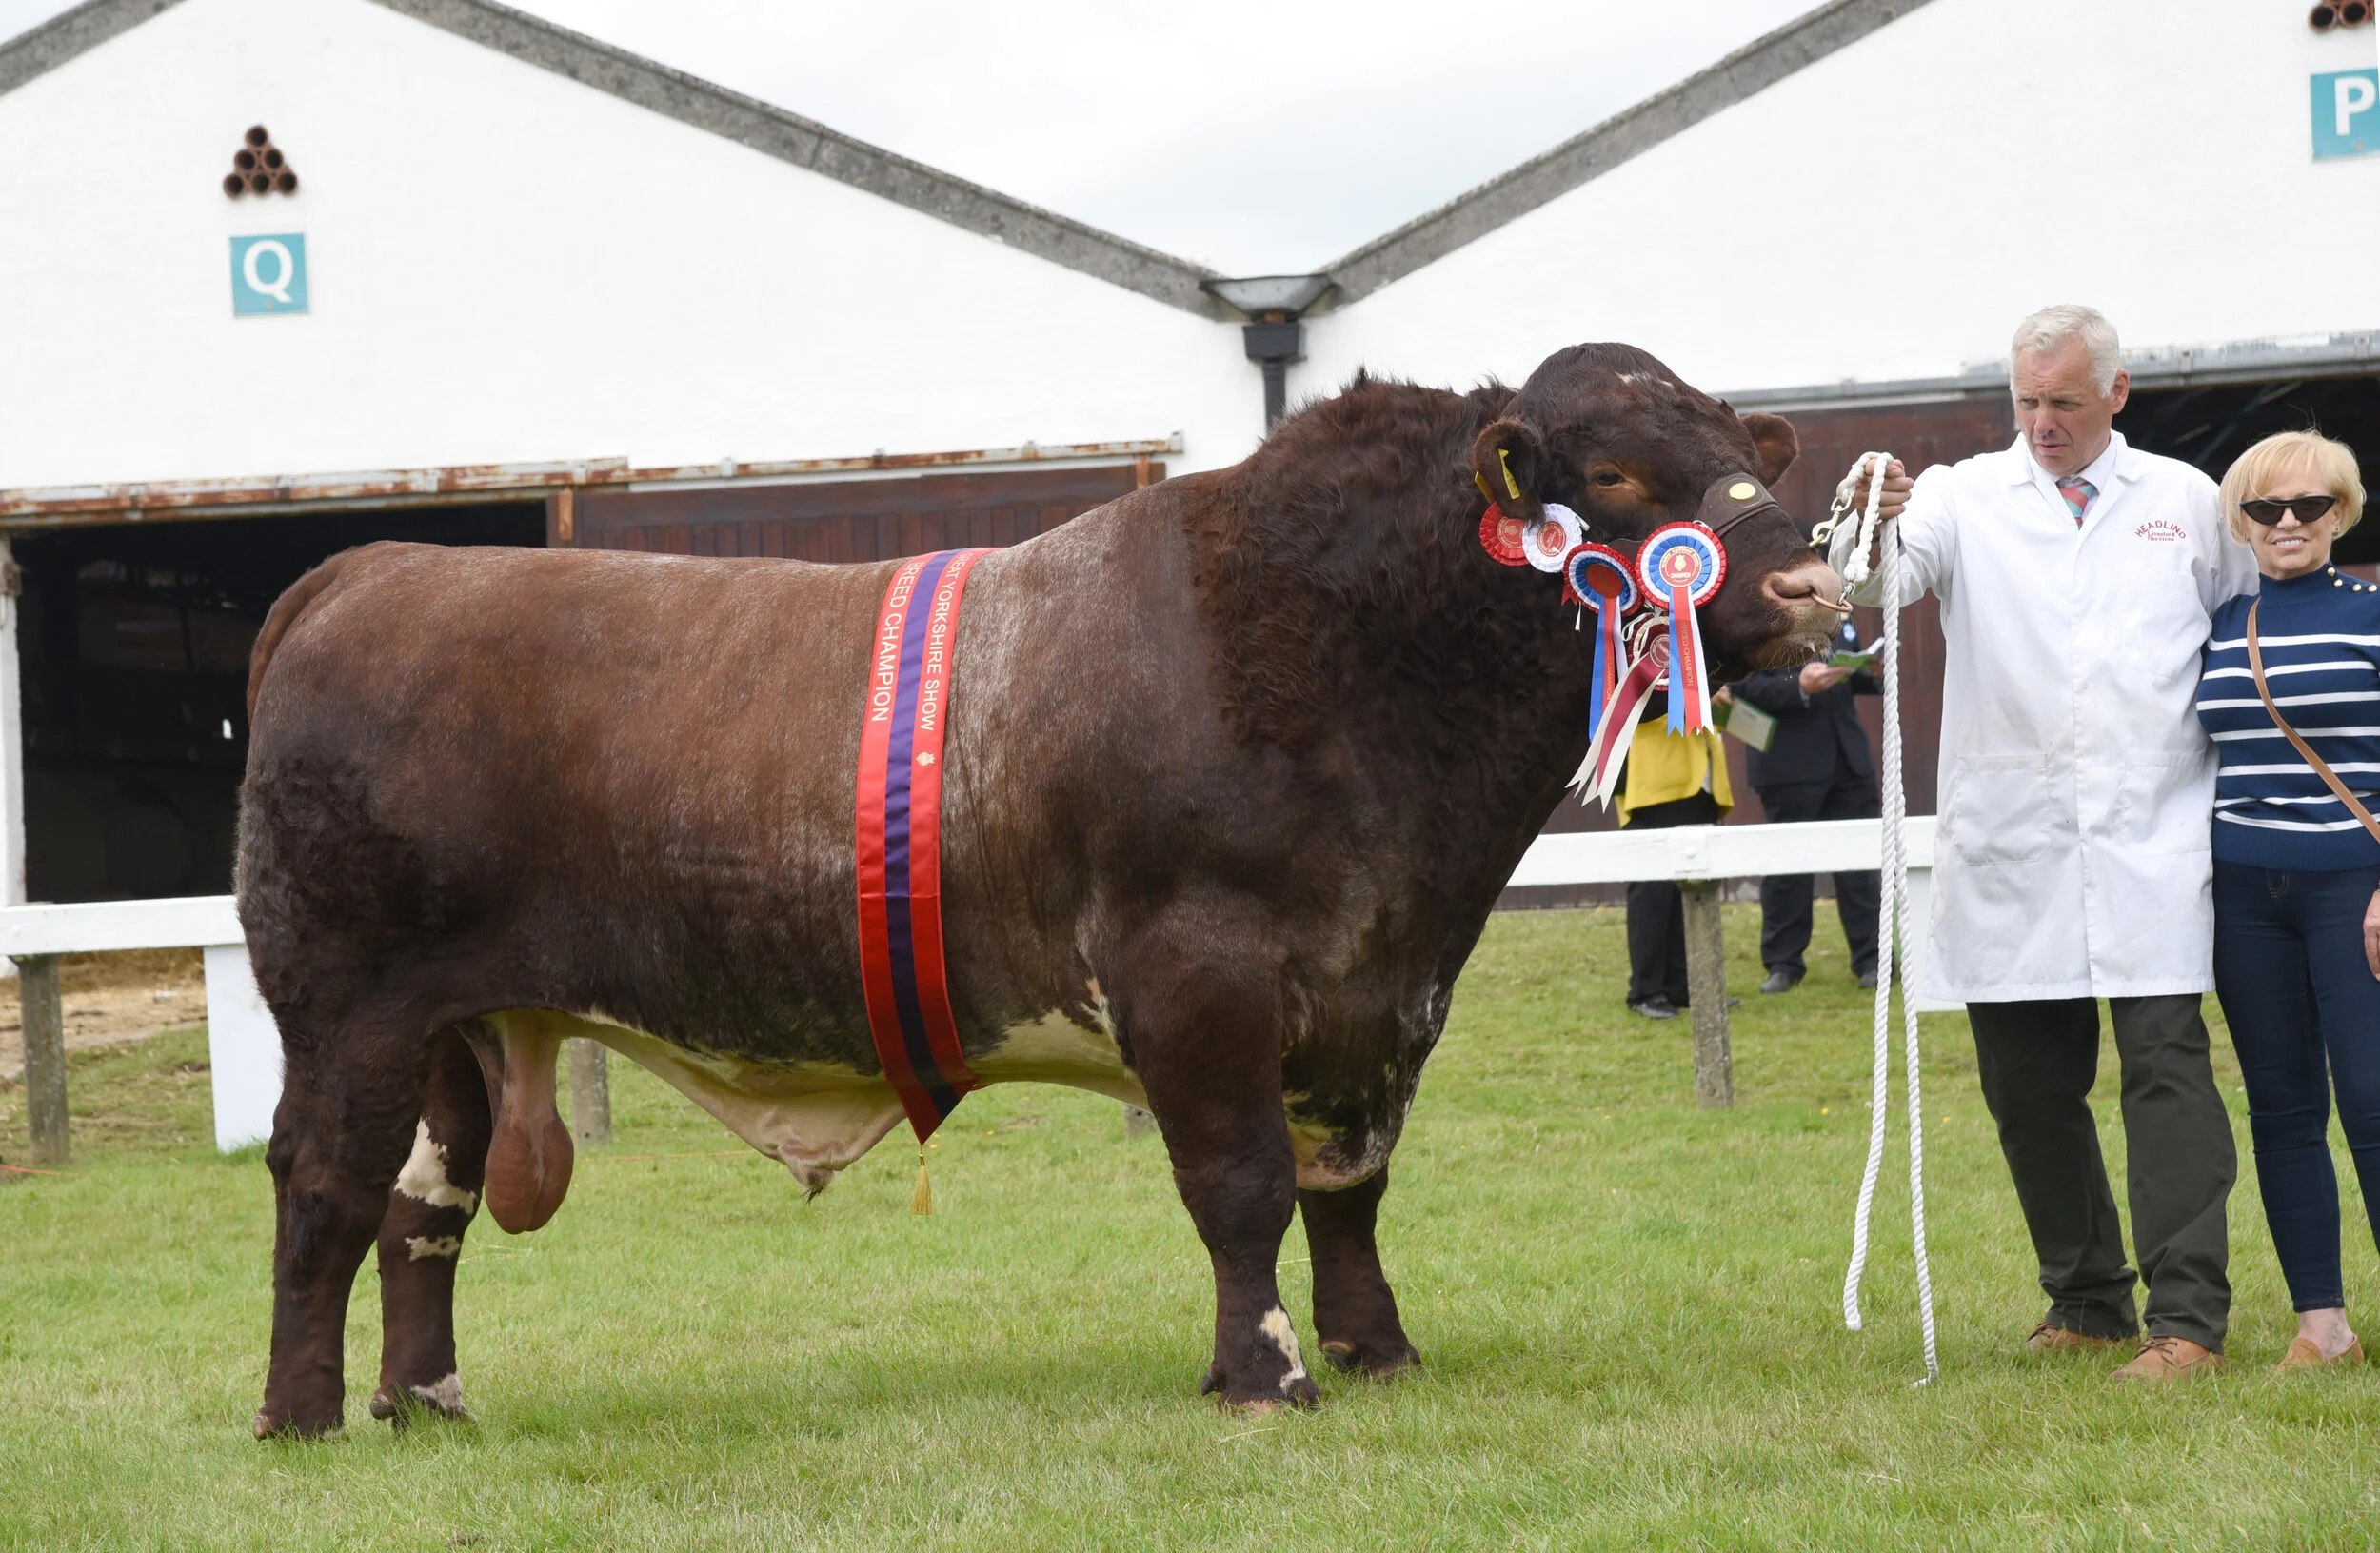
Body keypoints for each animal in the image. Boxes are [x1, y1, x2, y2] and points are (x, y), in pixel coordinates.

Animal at [241, 343, 1842, 1437]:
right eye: (1615, 475)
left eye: (1737, 445)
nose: (1816, 588)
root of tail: (367, 566)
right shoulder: (1199, 970)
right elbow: (1244, 1183)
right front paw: (1264, 1372)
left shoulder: (1382, 990)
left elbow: (1352, 1184)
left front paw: (1376, 1346)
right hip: (345, 1003)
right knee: (323, 1181)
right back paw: (302, 1414)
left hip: (460, 1022)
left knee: (423, 1197)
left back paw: (426, 1397)